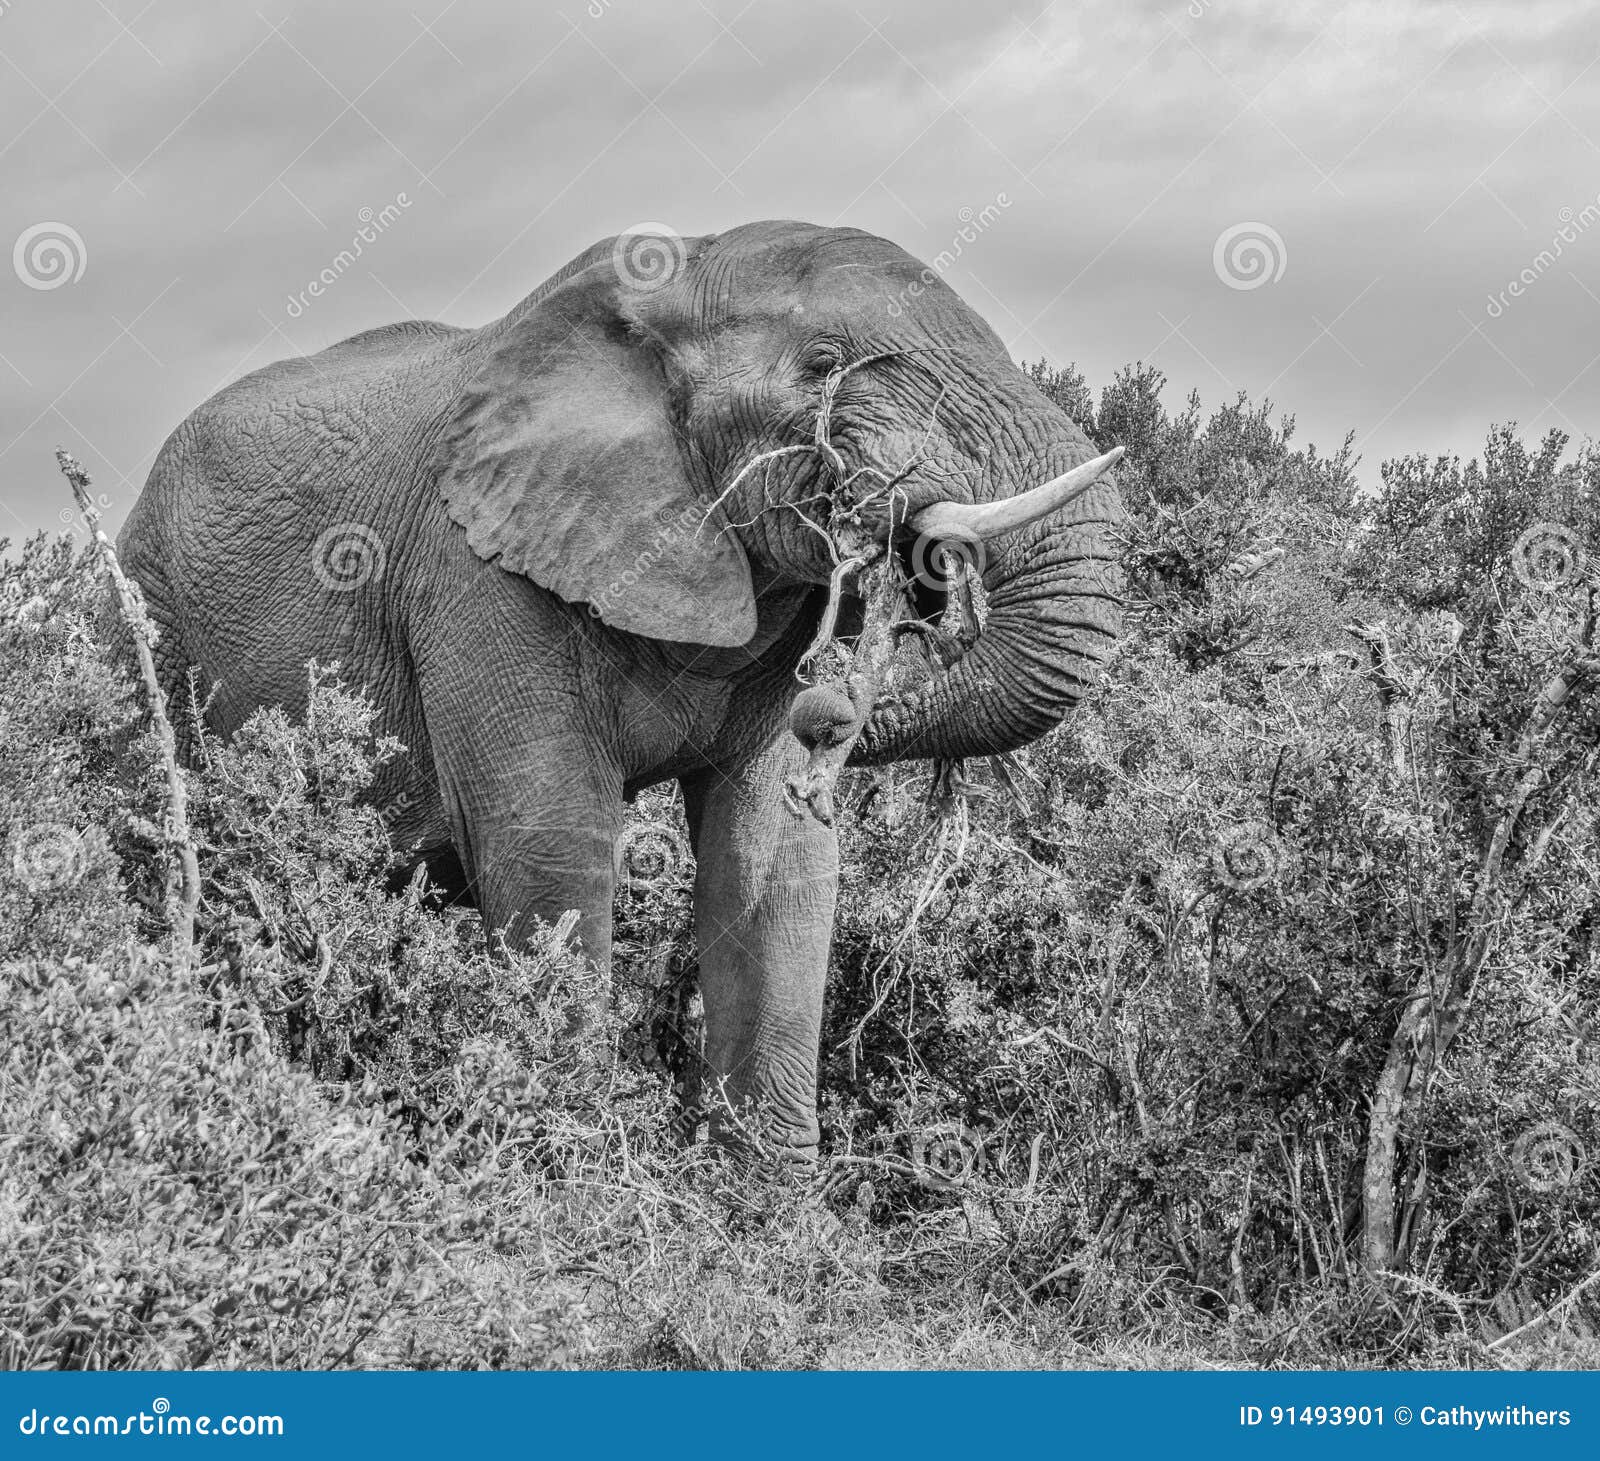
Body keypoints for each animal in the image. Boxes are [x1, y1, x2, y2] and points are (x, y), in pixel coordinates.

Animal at [119, 220, 1124, 1157]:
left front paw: (772, 1217)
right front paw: (574, 1171)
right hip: (146, 608)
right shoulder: (477, 572)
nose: (834, 715)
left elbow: (772, 856)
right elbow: (551, 844)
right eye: (824, 364)